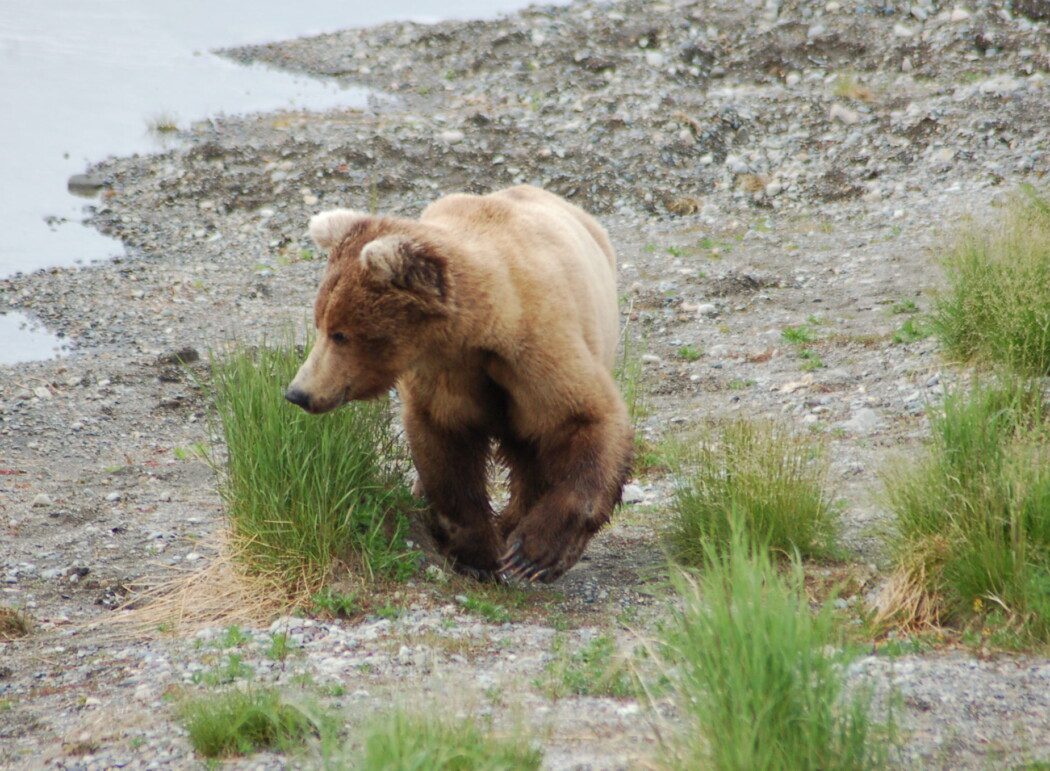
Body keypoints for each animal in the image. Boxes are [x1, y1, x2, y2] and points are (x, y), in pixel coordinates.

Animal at [285, 185, 633, 583]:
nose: (298, 392)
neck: (485, 327)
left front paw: (532, 553)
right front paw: (477, 555)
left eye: (340, 333)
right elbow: (445, 451)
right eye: (319, 323)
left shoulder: (537, 351)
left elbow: (586, 419)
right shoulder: (447, 371)